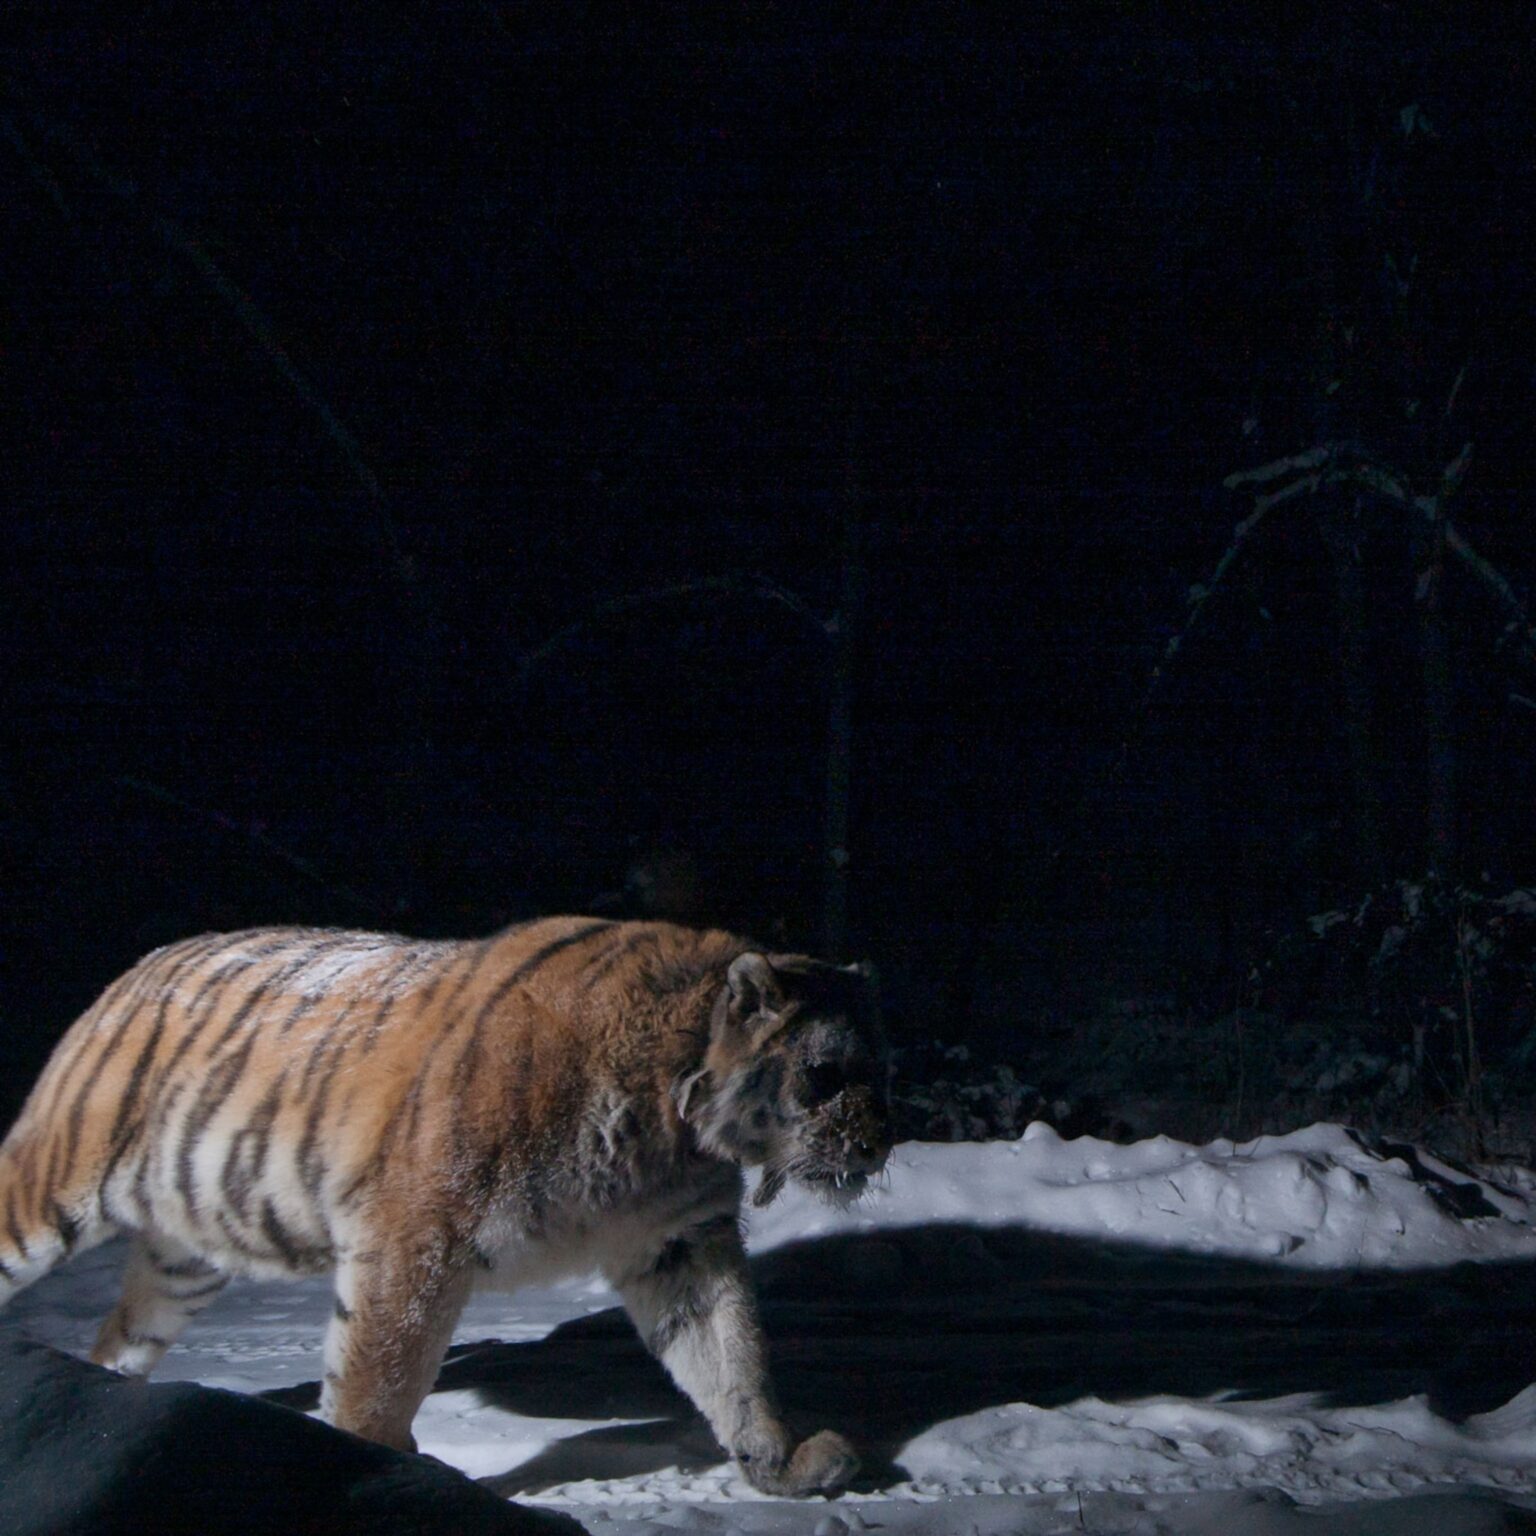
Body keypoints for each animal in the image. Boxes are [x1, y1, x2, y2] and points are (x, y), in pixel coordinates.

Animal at [0, 917, 891, 1497]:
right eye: (826, 1075)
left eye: (878, 1070)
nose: (879, 1146)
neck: (674, 1132)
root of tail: (132, 972)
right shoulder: (416, 1234)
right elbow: (381, 1374)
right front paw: (376, 1477)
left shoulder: (680, 1242)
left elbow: (732, 1358)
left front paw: (780, 1463)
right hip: (52, 1192)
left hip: (187, 1255)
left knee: (121, 1342)